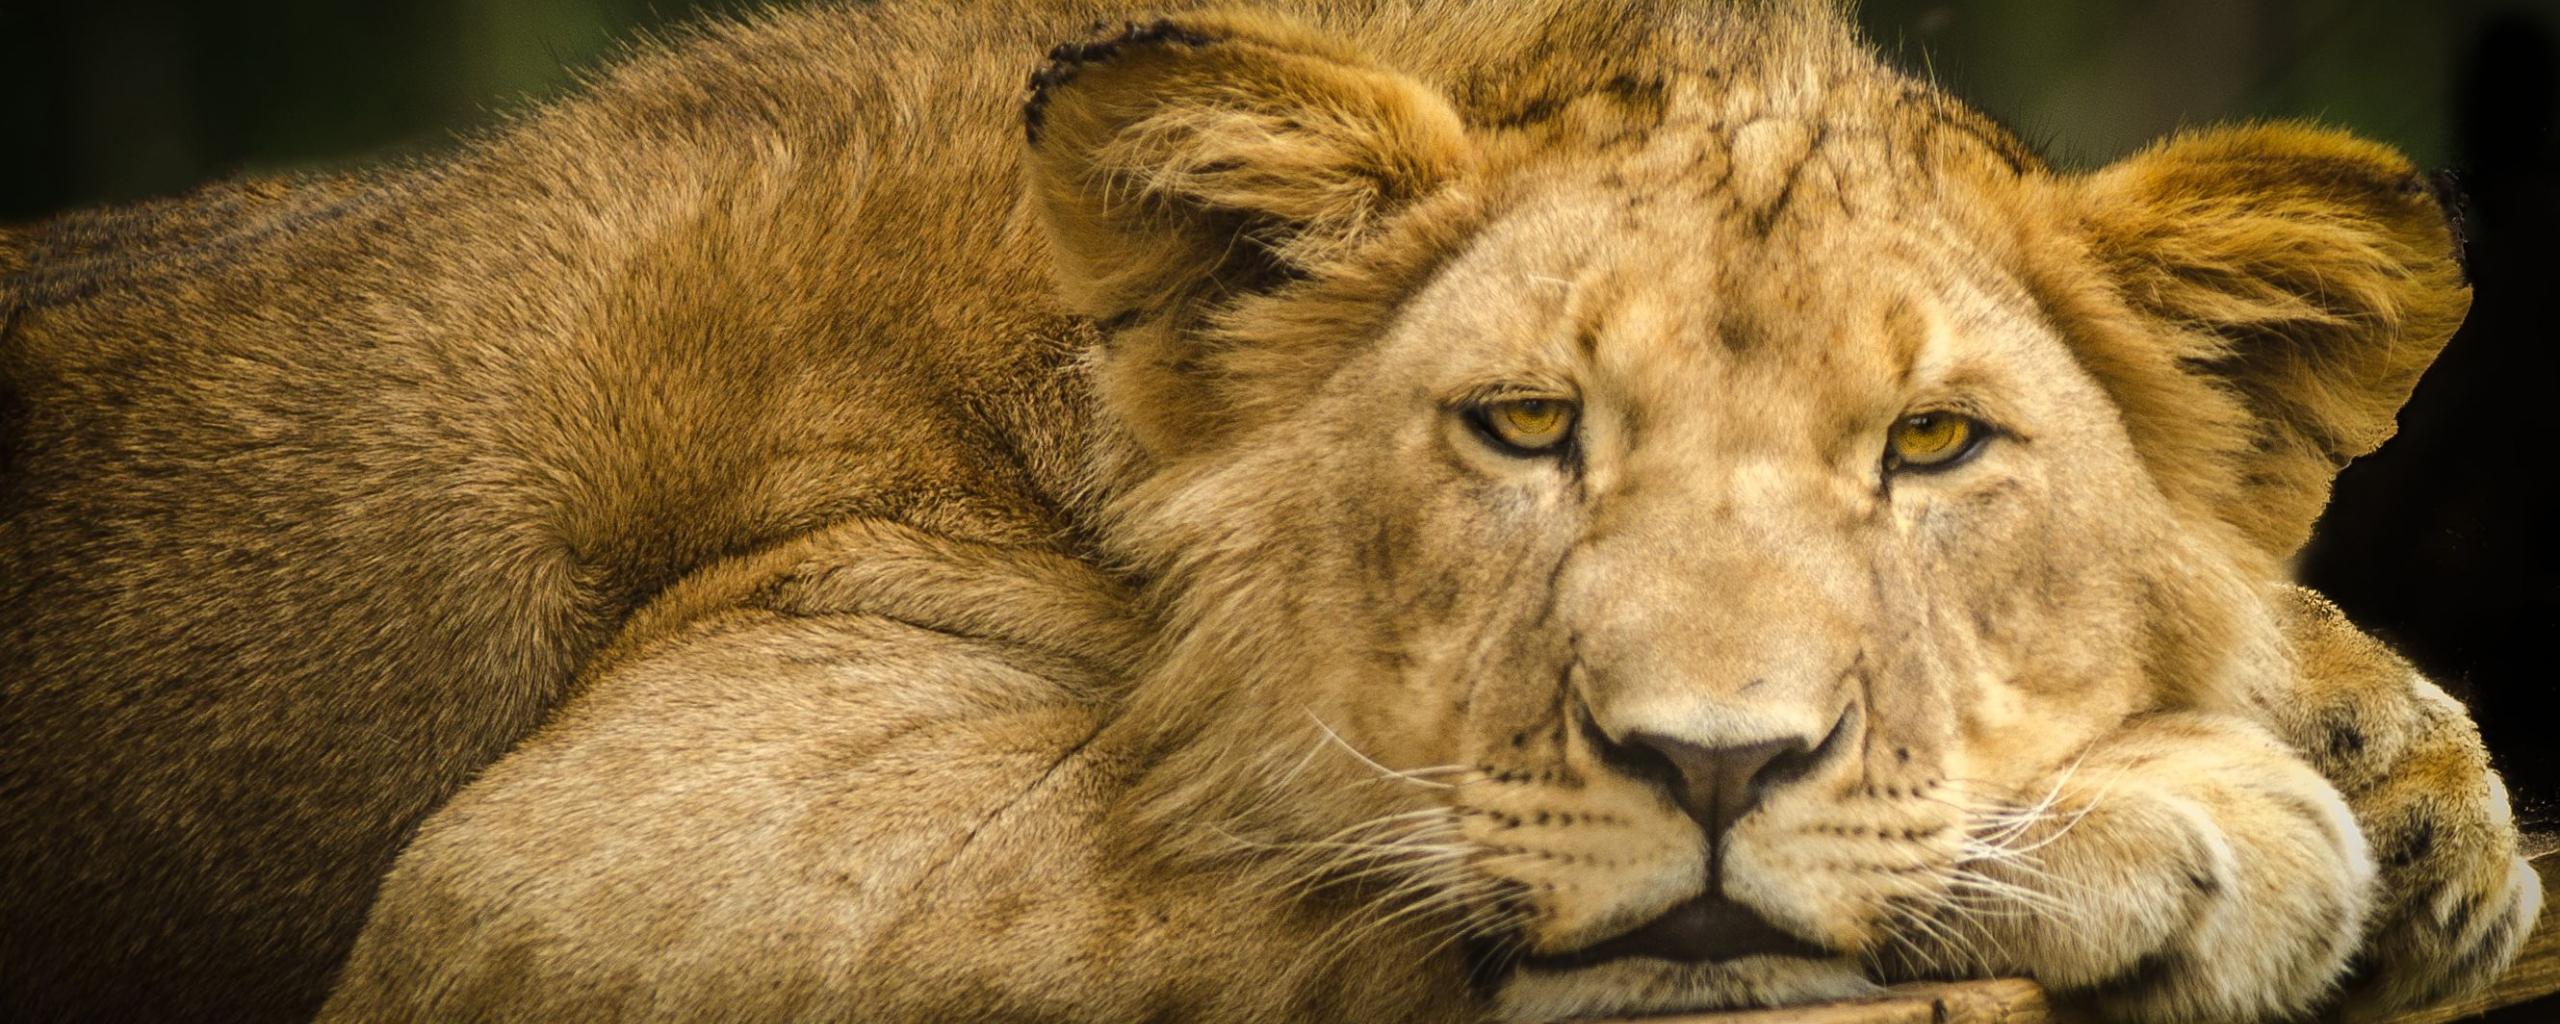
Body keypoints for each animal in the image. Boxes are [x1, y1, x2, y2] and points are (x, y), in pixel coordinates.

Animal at [0, 1, 2537, 1022]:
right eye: (1518, 431)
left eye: (1926, 451)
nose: (1714, 762)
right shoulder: (557, 851)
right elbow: (1230, 852)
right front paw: (2186, 820)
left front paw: (2402, 786)